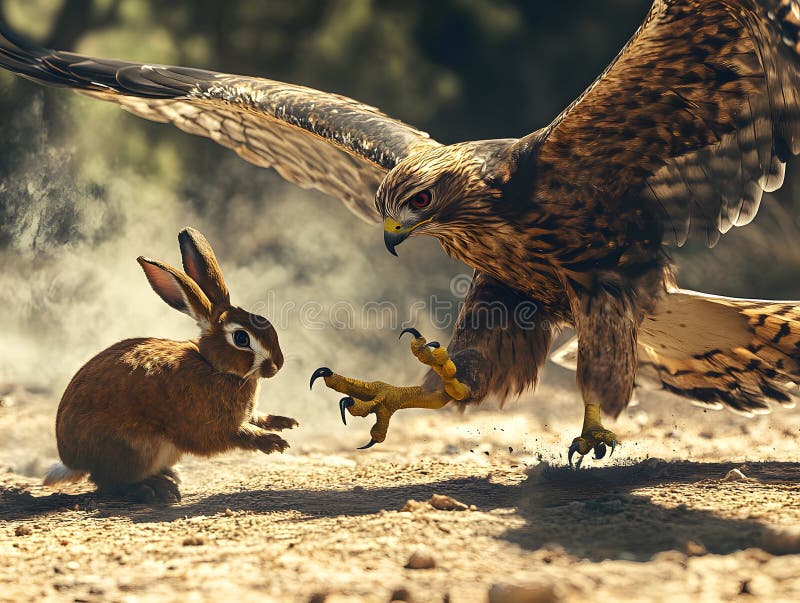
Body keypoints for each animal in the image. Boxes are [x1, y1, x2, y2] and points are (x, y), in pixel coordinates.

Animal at [44, 227, 298, 503]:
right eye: (241, 338)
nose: (277, 365)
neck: (212, 365)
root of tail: (72, 460)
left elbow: (257, 418)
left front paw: (284, 422)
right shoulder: (210, 424)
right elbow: (237, 434)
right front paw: (272, 442)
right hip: (138, 448)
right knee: (107, 482)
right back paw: (156, 488)